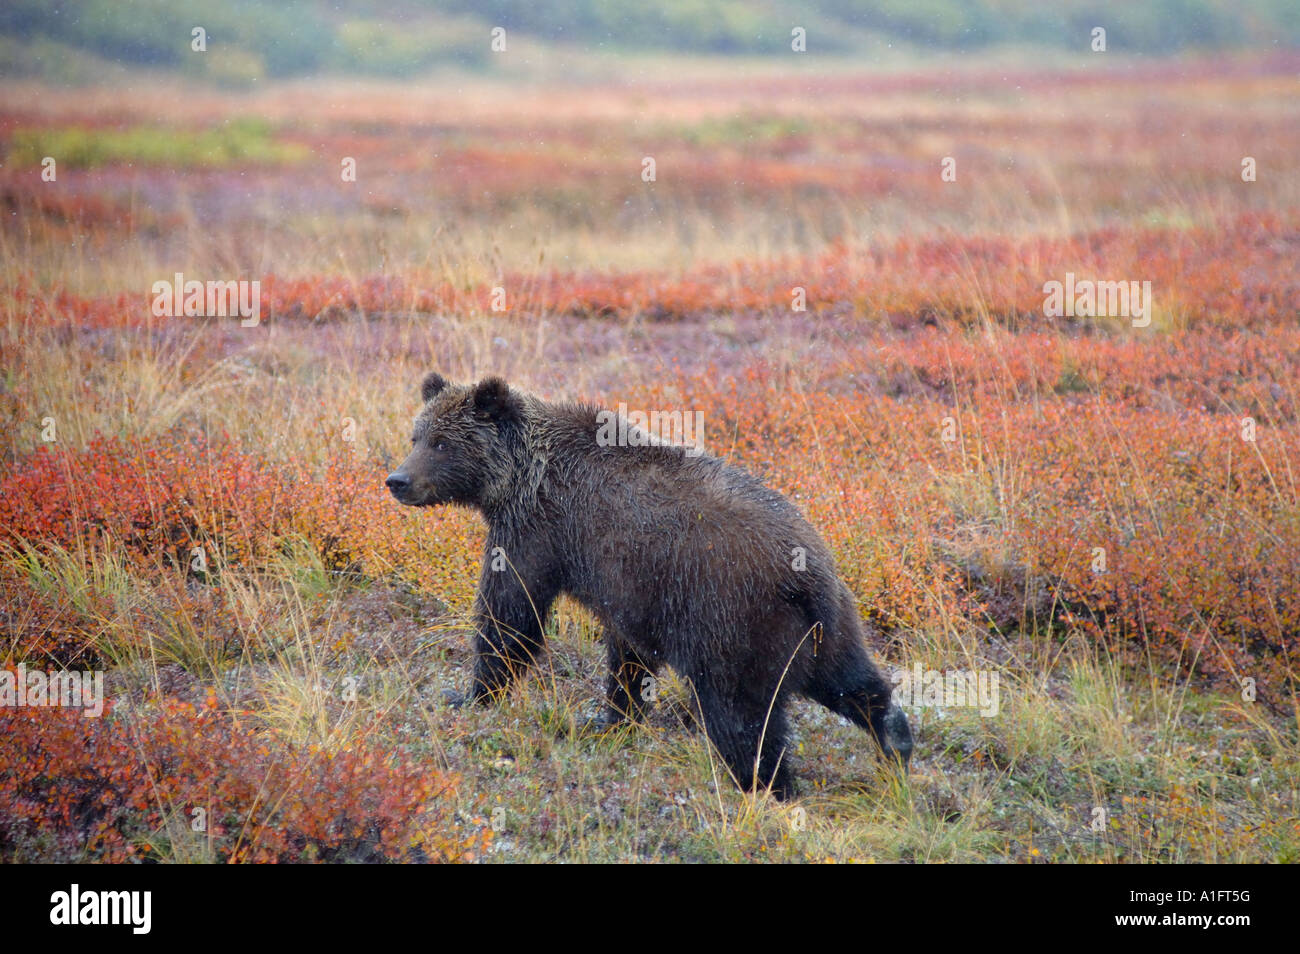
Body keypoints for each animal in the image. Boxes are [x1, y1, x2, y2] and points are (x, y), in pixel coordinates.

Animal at [386, 373, 912, 799]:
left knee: (740, 714)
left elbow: (511, 615)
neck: (520, 476)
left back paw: (764, 787)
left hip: (733, 621)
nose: (398, 479)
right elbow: (628, 656)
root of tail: (807, 571)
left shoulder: (537, 531)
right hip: (826, 624)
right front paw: (612, 720)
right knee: (851, 680)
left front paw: (470, 694)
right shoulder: (635, 591)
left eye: (442, 443)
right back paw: (895, 741)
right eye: (415, 434)